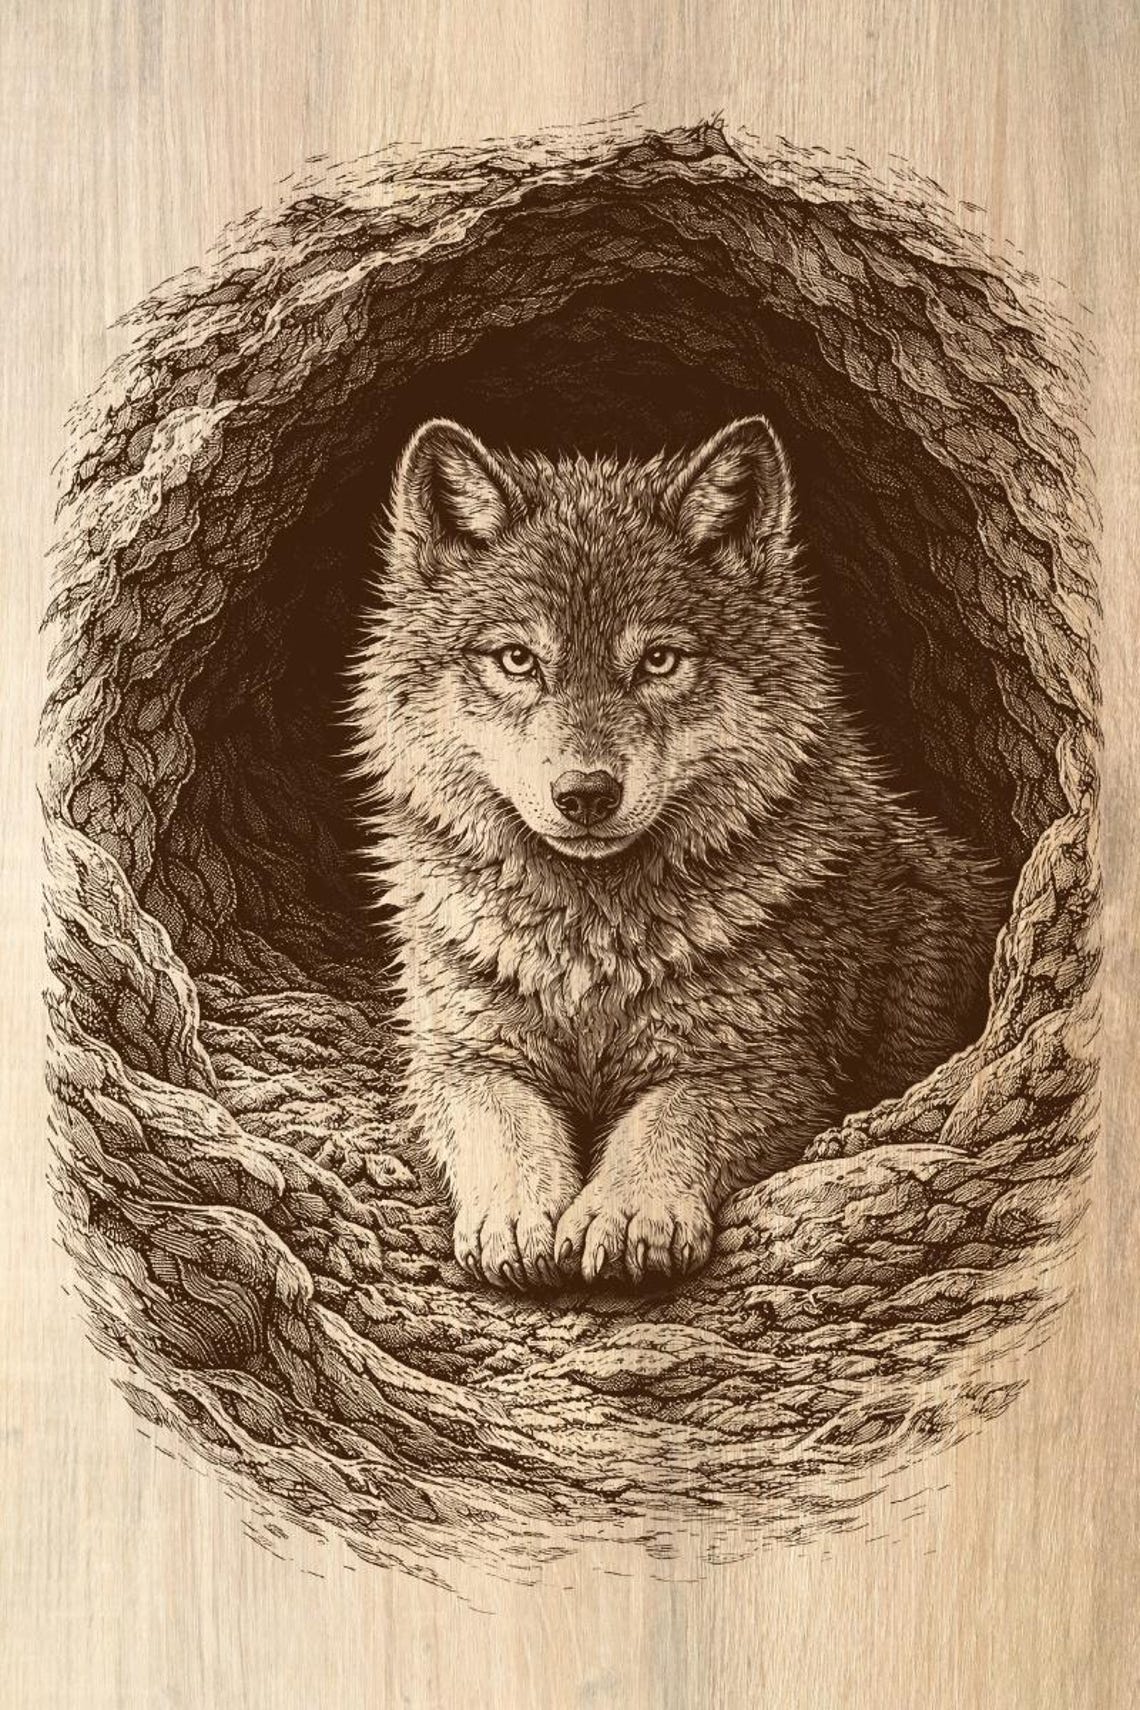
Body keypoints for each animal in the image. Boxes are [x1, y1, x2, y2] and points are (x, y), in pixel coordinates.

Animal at [348, 414, 1005, 1289]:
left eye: (658, 661)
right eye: (519, 660)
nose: (586, 794)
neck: (589, 943)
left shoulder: (757, 1067)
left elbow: (667, 1119)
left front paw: (624, 1214)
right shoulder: (463, 1057)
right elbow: (505, 1124)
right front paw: (518, 1219)